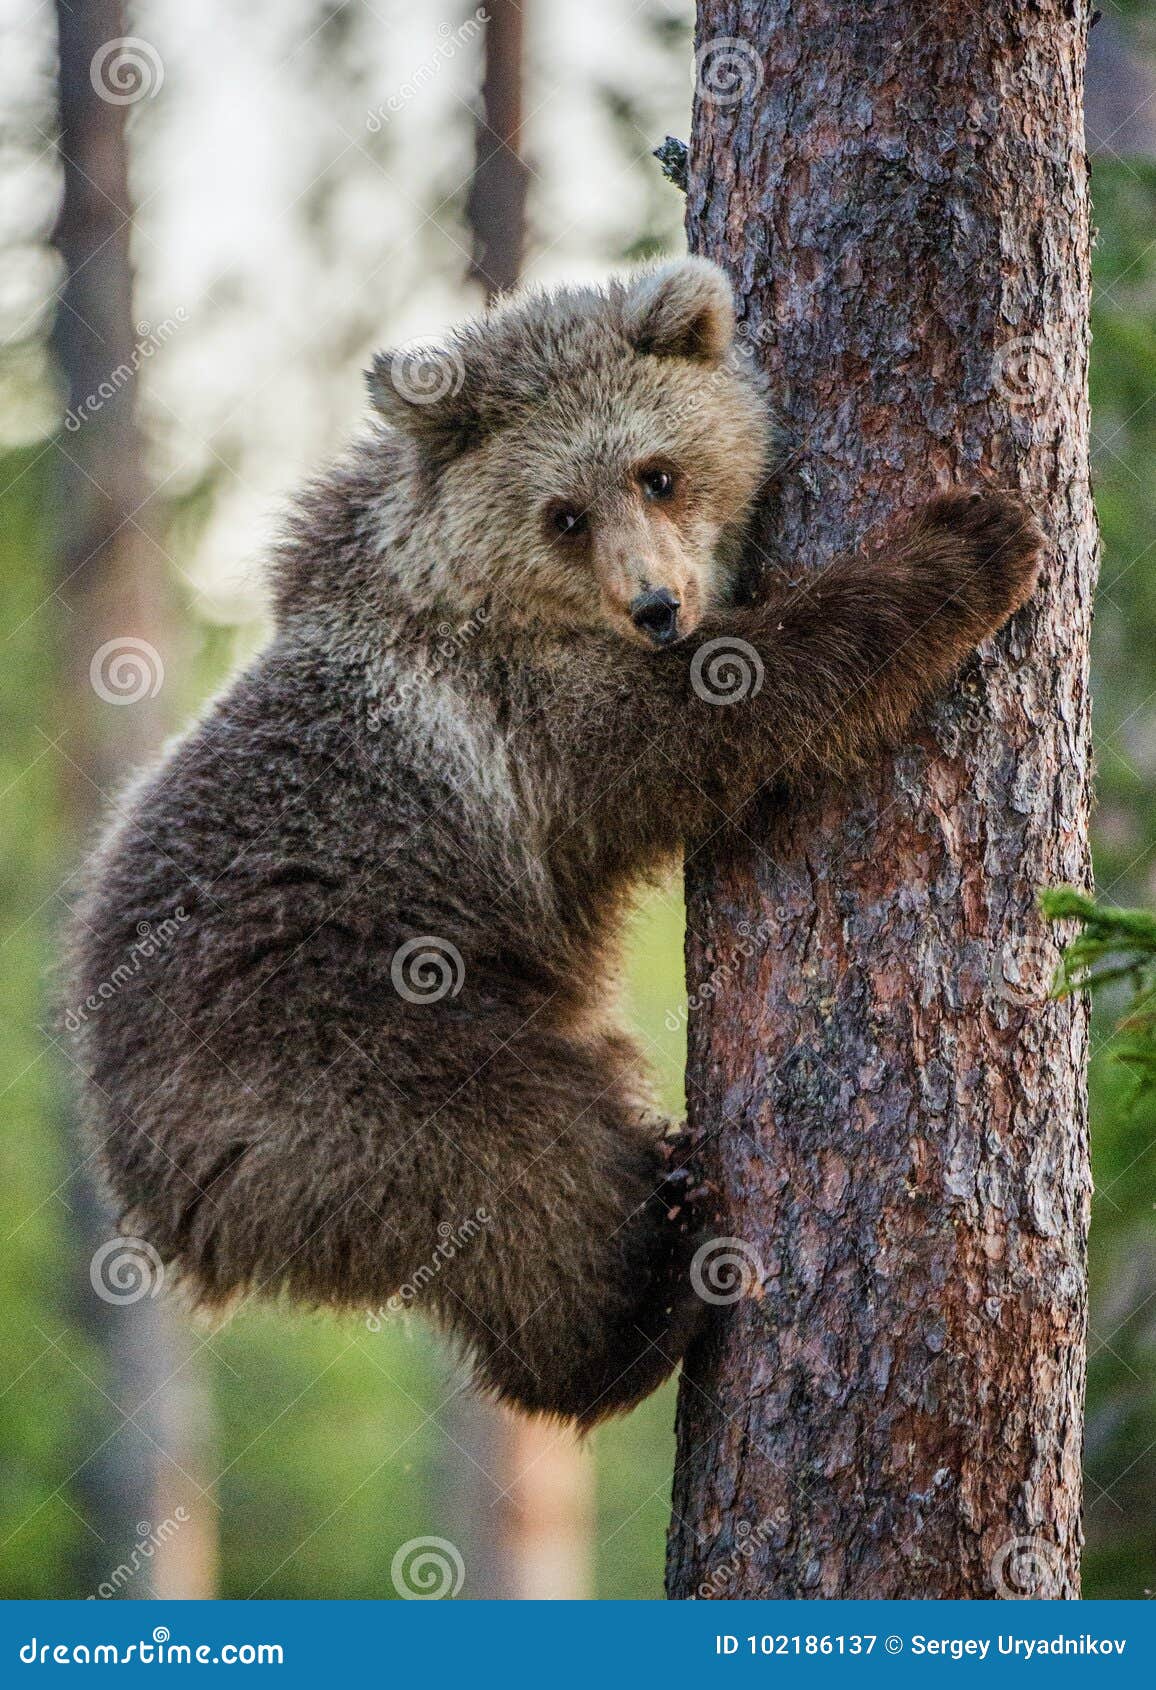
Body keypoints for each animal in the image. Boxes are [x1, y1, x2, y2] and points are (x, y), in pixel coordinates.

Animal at [66, 257, 1043, 1427]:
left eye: (658, 472)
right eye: (563, 514)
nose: (659, 605)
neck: (483, 595)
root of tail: (147, 1186)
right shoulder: (525, 721)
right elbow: (723, 709)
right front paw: (973, 539)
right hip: (319, 1057)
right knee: (517, 1155)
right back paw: (647, 1298)